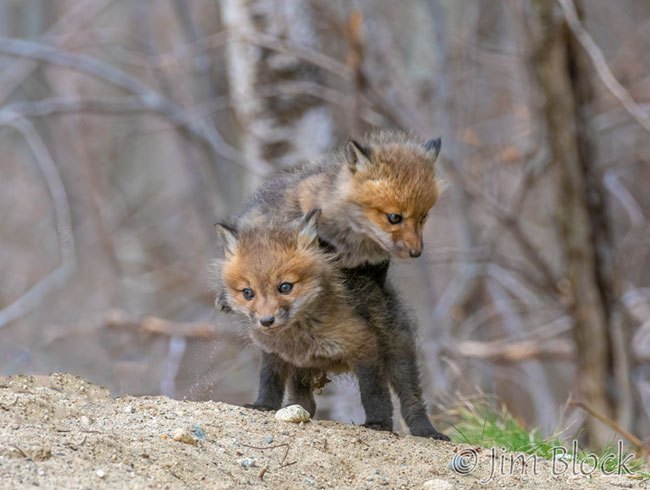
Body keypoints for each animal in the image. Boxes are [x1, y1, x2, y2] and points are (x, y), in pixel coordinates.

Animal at [214, 210, 449, 440]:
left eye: (285, 287)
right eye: (247, 293)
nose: (266, 321)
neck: (298, 337)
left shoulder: (365, 346)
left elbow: (374, 392)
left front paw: (378, 423)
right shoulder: (275, 353)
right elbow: (269, 381)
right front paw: (263, 406)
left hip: (399, 360)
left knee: (412, 401)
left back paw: (427, 431)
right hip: (302, 370)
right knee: (307, 403)